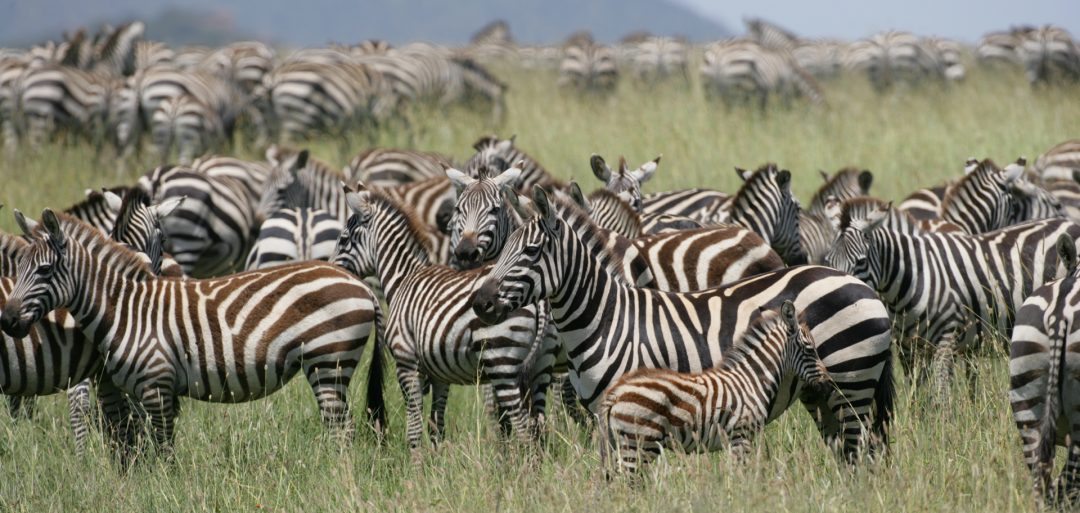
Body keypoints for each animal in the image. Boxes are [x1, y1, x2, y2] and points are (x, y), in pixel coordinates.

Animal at [0, 211, 384, 452]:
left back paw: (335, 474)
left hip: (328, 361)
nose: (7, 320)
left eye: (44, 270)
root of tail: (361, 286)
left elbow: (160, 449)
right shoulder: (151, 390)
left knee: (341, 430)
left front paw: (158, 489)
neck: (126, 309)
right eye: (19, 268)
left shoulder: (156, 385)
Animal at [333, 184, 554, 448]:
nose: (330, 268)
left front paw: (415, 459)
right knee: (538, 424)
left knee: (522, 429)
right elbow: (436, 426)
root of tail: (538, 300)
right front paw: (435, 458)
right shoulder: (440, 374)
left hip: (502, 363)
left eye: (344, 239)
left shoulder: (407, 362)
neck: (404, 278)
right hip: (539, 365)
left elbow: (414, 426)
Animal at [599, 300, 829, 473]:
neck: (752, 379)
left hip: (622, 444)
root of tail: (616, 392)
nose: (828, 382)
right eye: (810, 349)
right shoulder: (740, 437)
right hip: (638, 442)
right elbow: (740, 477)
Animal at [824, 202, 1080, 399]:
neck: (911, 278)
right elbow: (916, 395)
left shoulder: (946, 339)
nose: (839, 298)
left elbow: (941, 395)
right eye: (828, 261)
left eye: (861, 261)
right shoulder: (907, 347)